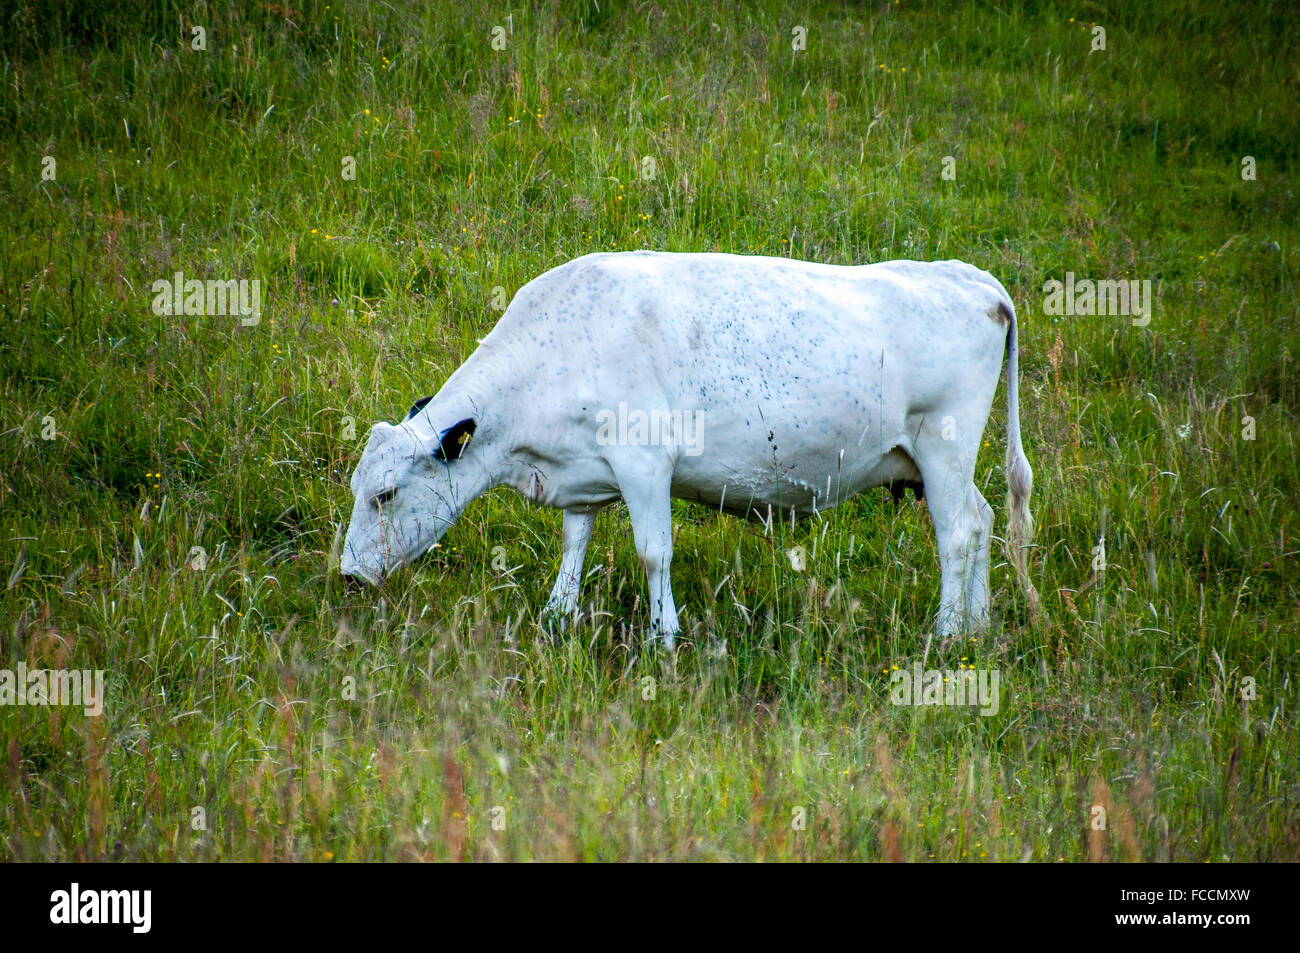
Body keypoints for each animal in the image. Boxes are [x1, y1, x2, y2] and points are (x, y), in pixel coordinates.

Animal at [340, 251, 1042, 647]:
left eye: (385, 495)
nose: (346, 576)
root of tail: (970, 280)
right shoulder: (583, 471)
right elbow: (574, 542)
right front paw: (557, 616)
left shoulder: (644, 463)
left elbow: (654, 554)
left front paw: (664, 637)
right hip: (937, 463)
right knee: (982, 520)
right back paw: (978, 626)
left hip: (943, 448)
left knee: (956, 534)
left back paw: (946, 634)